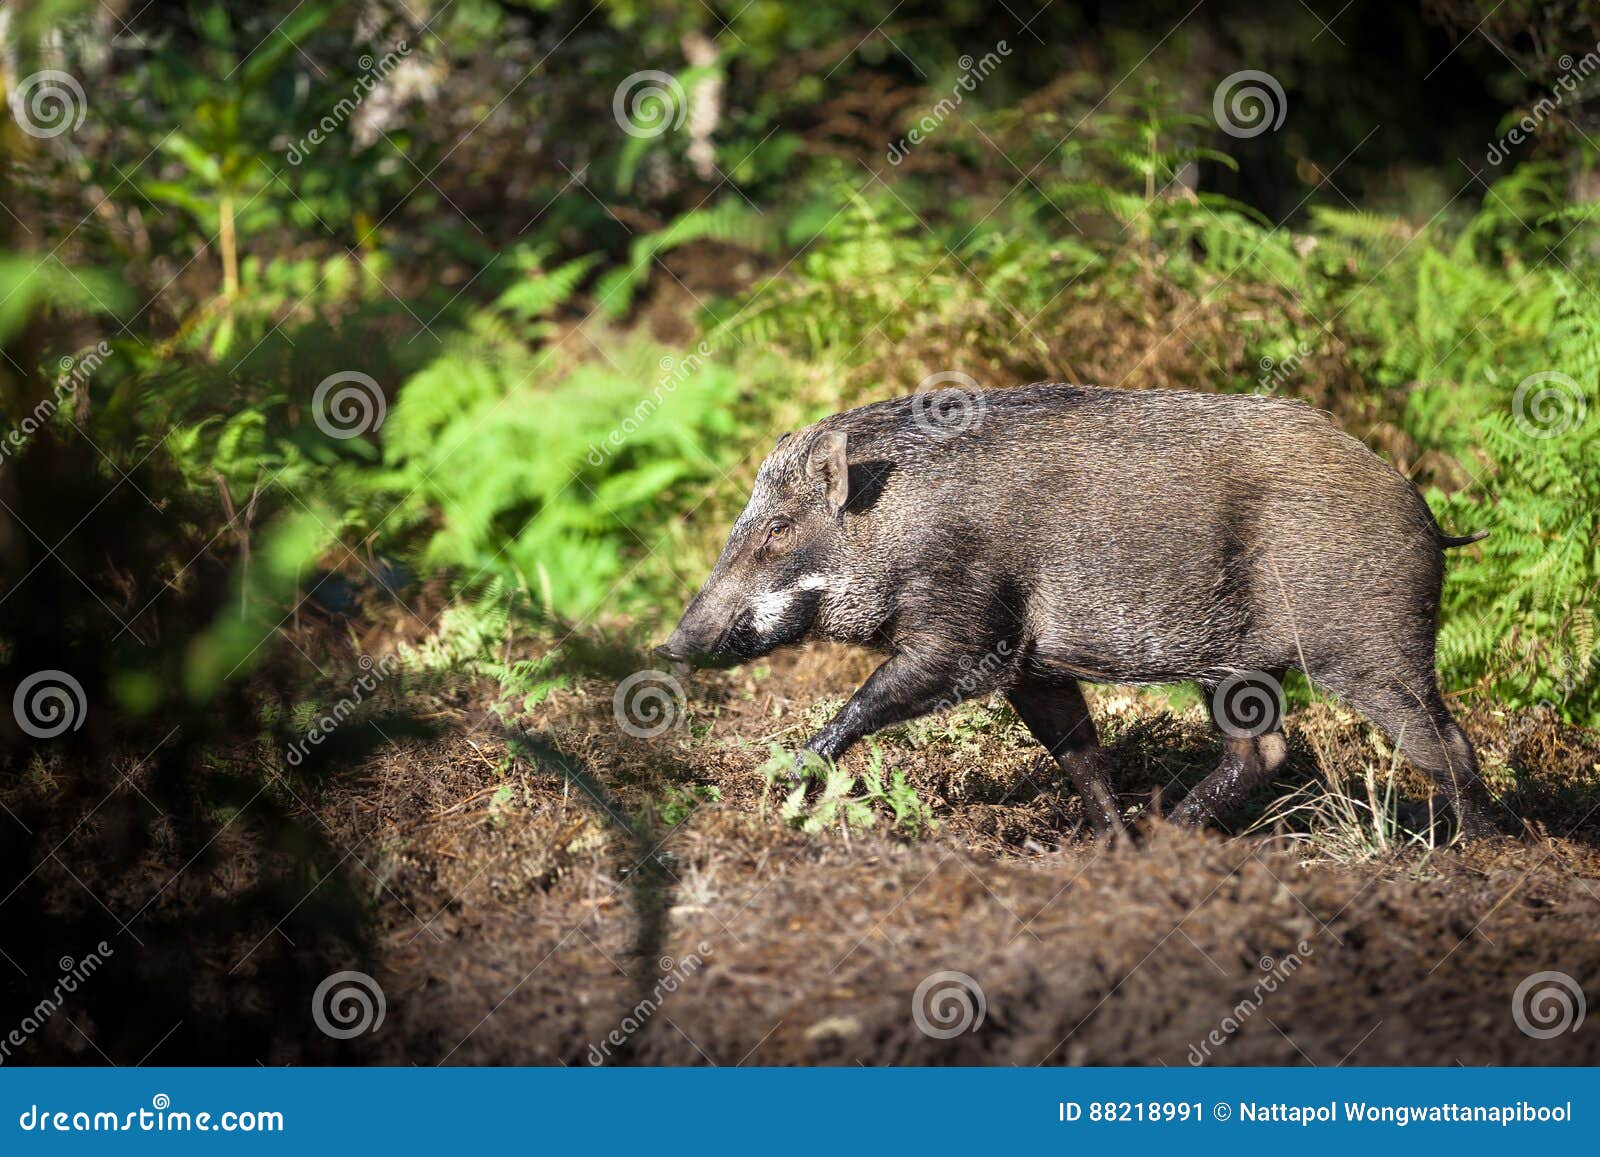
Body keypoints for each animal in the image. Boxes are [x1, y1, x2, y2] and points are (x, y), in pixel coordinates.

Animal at [657, 383, 1496, 837]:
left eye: (778, 527)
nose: (670, 646)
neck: (887, 524)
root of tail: (1427, 512)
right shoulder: (1034, 665)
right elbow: (1080, 754)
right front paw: (1113, 841)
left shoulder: (968, 636)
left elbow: (868, 700)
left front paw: (784, 779)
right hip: (1236, 668)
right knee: (1261, 750)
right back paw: (1164, 836)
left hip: (1372, 652)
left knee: (1446, 745)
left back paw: (1480, 849)